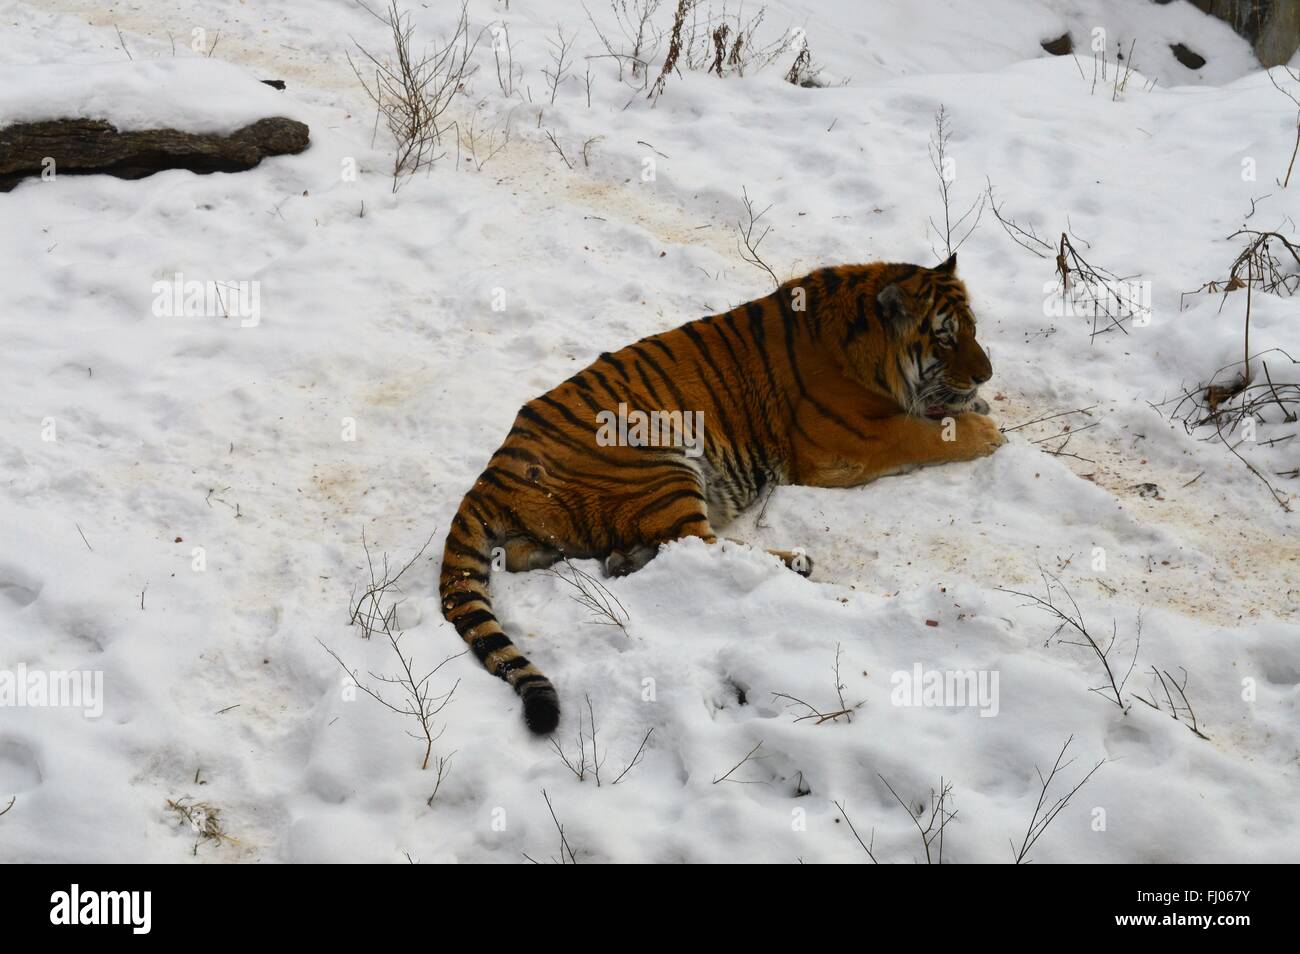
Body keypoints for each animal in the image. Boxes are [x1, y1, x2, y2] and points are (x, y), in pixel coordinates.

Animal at [438, 253, 1005, 734]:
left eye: (974, 329)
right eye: (946, 338)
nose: (987, 375)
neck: (862, 347)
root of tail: (493, 473)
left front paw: (974, 409)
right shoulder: (850, 443)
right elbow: (925, 435)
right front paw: (986, 430)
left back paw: (615, 559)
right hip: (658, 457)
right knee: (697, 546)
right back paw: (796, 561)